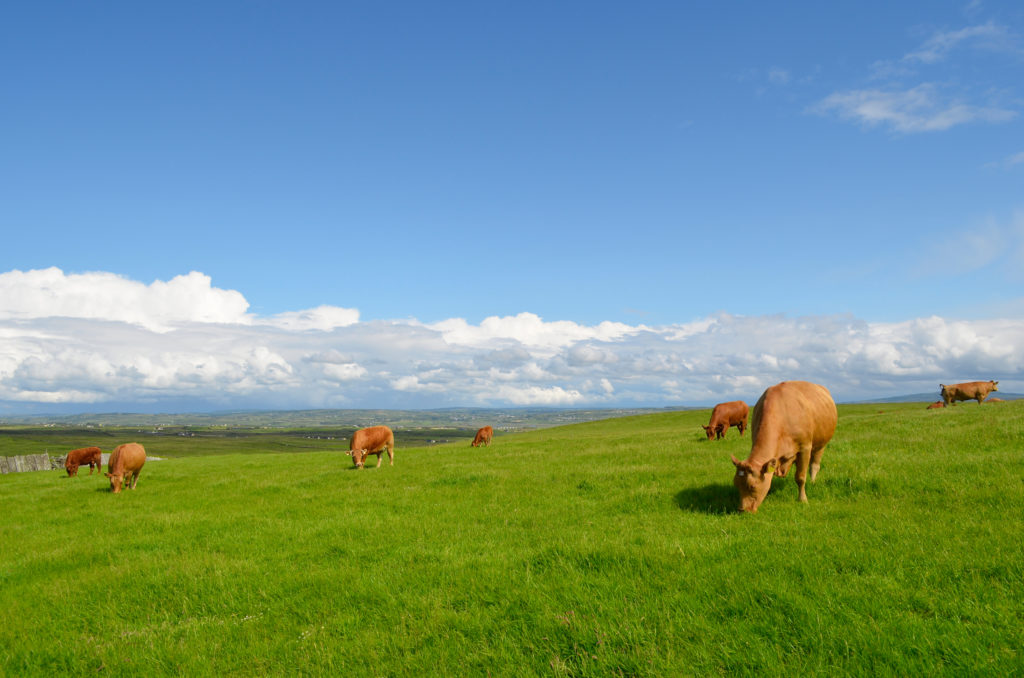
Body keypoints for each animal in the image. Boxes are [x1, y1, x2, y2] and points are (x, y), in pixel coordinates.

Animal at [731, 381, 837, 513]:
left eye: (752, 486)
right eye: (736, 484)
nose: (742, 510)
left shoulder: (805, 448)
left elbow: (800, 477)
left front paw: (803, 499)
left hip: (820, 444)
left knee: (814, 466)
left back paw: (812, 482)